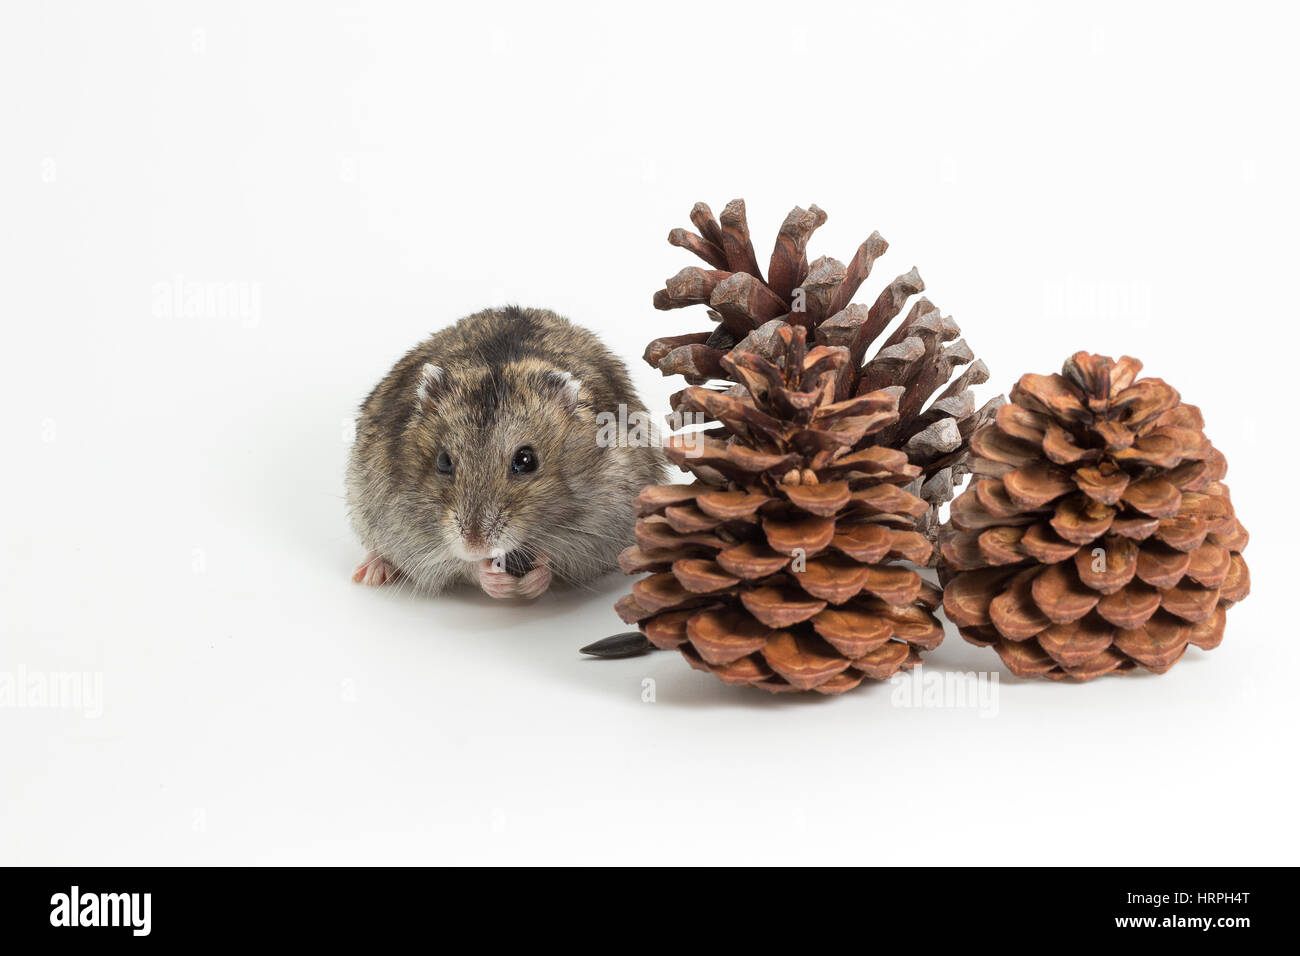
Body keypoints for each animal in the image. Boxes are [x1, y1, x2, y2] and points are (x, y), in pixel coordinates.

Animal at [346, 306, 667, 599]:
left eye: (526, 460)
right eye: (442, 462)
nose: (476, 546)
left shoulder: (606, 519)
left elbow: (555, 565)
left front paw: (533, 576)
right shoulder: (405, 526)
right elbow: (461, 565)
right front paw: (495, 578)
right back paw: (370, 573)